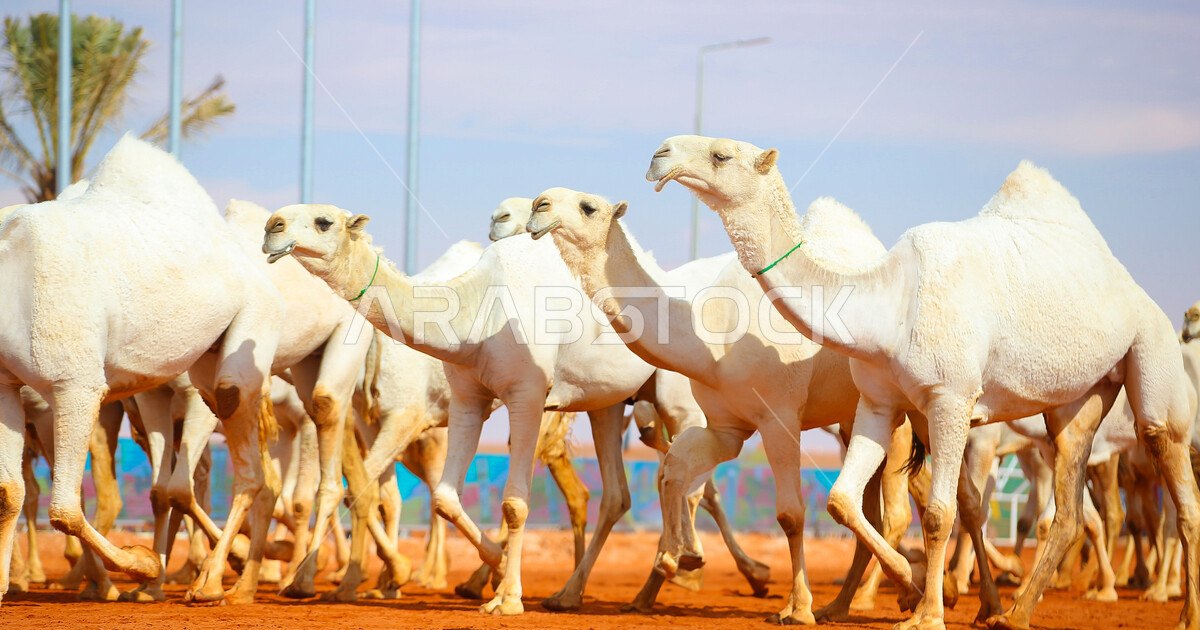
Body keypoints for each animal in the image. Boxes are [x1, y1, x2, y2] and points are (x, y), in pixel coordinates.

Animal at [0, 135, 286, 606]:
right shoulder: (6, 385)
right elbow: (11, 493)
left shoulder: (75, 386)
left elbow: (64, 509)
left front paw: (142, 565)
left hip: (252, 328)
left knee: (244, 455)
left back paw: (214, 581)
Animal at [263, 204, 659, 616]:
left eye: (324, 221)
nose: (272, 226)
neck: (479, 311)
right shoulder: (464, 398)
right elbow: (438, 497)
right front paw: (490, 567)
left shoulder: (521, 395)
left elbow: (514, 502)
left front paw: (507, 597)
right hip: (608, 402)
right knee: (614, 495)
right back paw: (569, 593)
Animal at [647, 134, 1200, 630]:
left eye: (721, 154)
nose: (659, 155)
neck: (888, 303)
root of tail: (1127, 282)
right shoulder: (879, 403)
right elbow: (842, 499)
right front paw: (910, 591)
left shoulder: (952, 399)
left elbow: (938, 511)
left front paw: (927, 613)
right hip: (1077, 398)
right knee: (1068, 507)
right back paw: (1014, 614)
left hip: (1149, 348)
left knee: (1171, 477)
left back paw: (1177, 612)